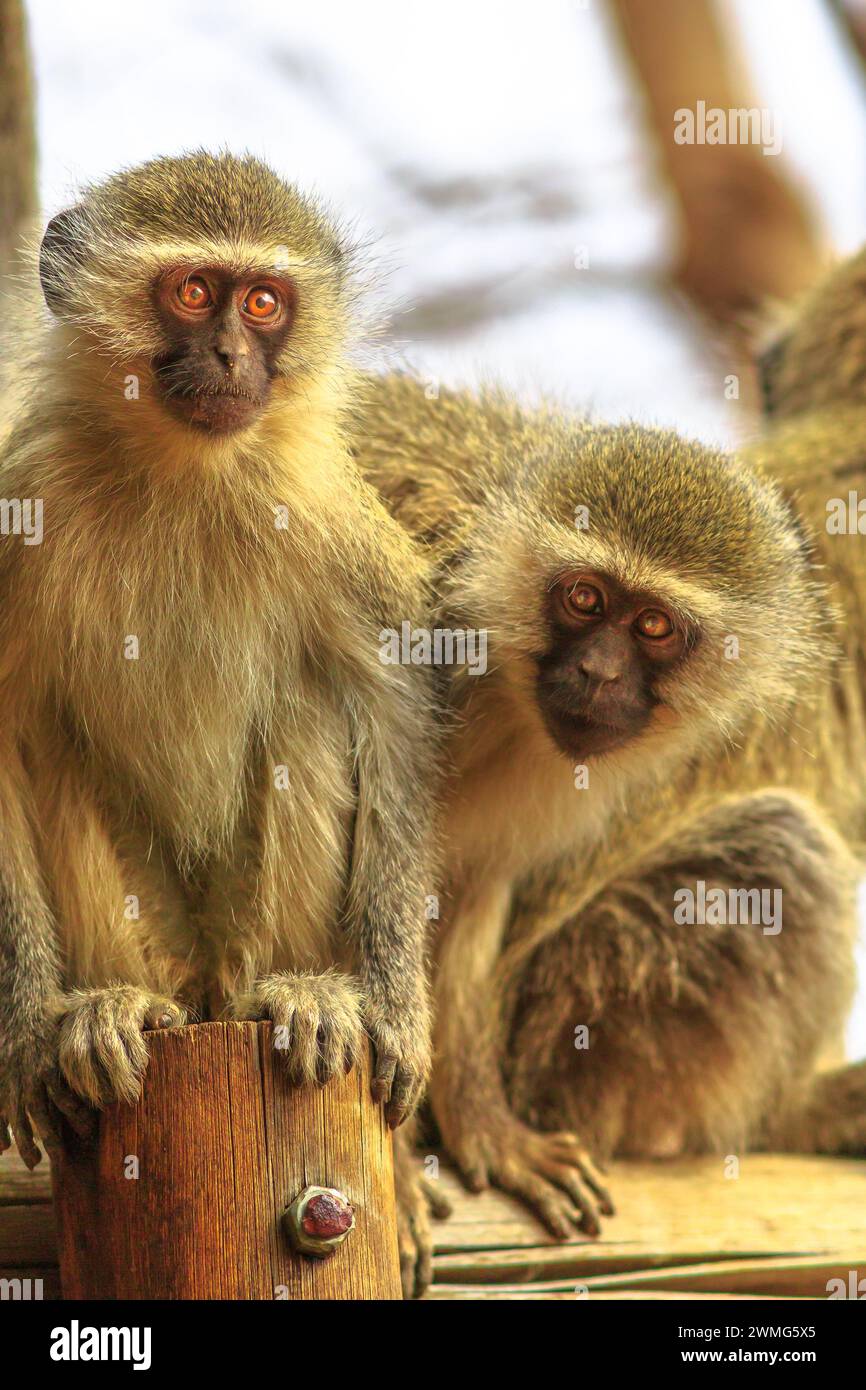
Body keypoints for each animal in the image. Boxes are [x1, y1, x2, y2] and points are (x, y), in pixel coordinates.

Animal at [0, 152, 438, 1174]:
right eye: (195, 293)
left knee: (309, 710)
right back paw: (111, 1010)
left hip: (245, 933)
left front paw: (396, 1010)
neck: (180, 470)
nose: (235, 357)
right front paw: (31, 1033)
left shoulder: (321, 505)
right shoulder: (22, 490)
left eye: (265, 303)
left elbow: (395, 704)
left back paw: (298, 992)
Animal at [354, 371, 865, 1295]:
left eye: (654, 627)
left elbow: (475, 896)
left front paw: (486, 1127)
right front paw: (398, 1169)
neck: (502, 690)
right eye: (584, 598)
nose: (595, 672)